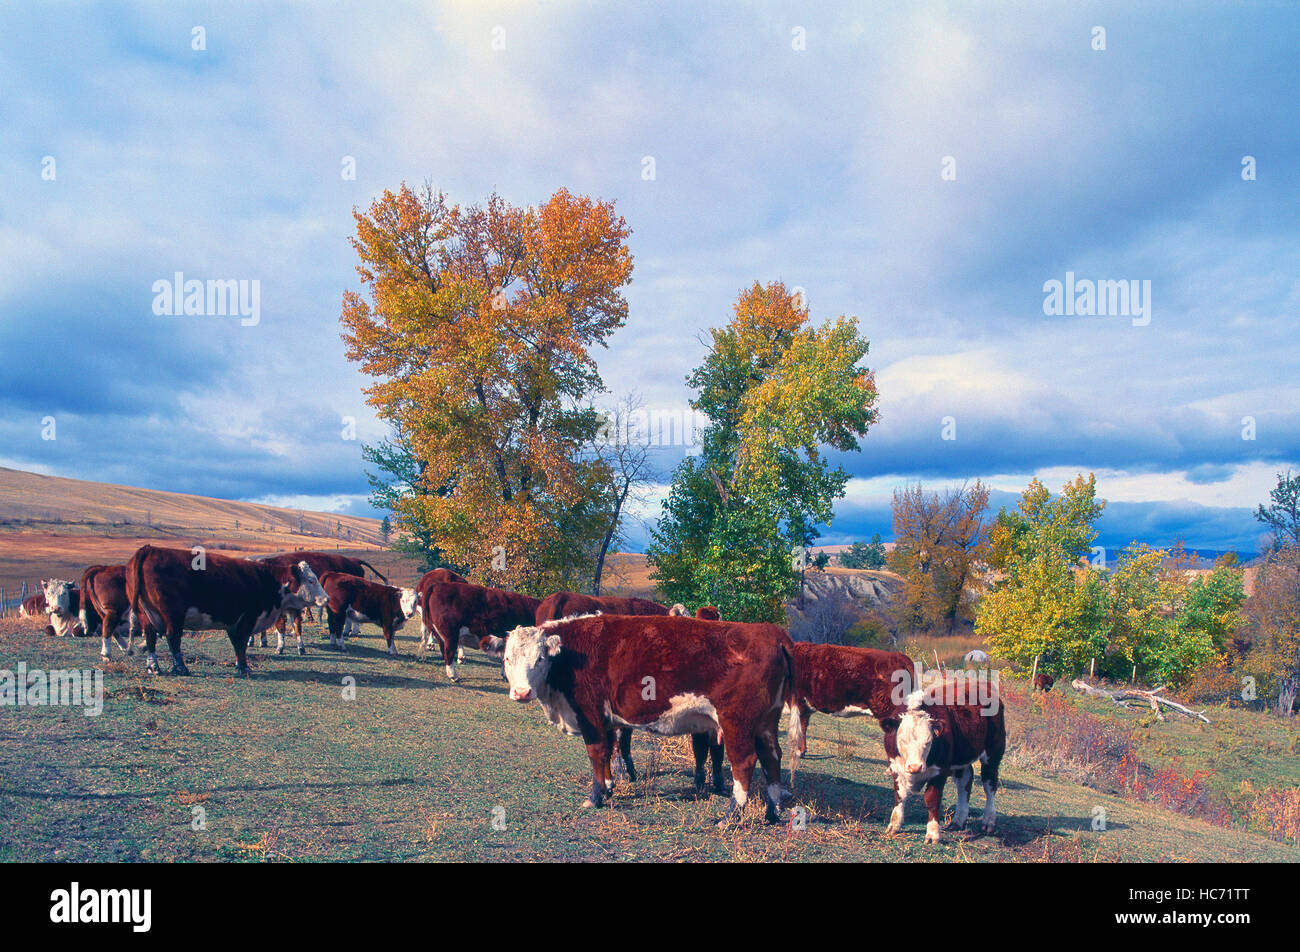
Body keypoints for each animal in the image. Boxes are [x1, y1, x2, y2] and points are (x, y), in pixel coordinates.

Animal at [127, 545, 328, 676]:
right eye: (311, 580)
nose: (326, 598)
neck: (265, 578)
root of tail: (150, 549)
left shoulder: (234, 621)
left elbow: (236, 643)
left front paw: (239, 664)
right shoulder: (248, 618)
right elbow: (241, 642)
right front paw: (244, 667)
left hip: (146, 614)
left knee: (150, 637)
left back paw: (154, 667)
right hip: (172, 616)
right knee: (172, 637)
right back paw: (181, 668)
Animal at [501, 613, 796, 824]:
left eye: (540, 658)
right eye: (507, 658)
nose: (521, 692)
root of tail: (771, 632)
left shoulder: (590, 714)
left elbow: (597, 753)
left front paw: (595, 797)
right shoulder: (607, 719)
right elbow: (609, 751)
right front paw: (609, 787)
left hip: (736, 721)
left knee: (744, 762)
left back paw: (731, 816)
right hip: (766, 722)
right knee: (772, 758)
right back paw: (772, 813)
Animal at [785, 643, 918, 781]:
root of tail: (899, 656)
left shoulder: (799, 703)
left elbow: (800, 728)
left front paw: (799, 751)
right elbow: (804, 727)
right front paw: (803, 751)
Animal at [881, 685, 1006, 843]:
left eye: (928, 741)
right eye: (902, 740)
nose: (915, 767)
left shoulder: (939, 772)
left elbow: (932, 800)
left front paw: (932, 834)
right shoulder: (895, 767)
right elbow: (899, 796)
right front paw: (894, 825)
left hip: (993, 753)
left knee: (990, 785)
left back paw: (989, 821)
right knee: (965, 782)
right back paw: (957, 821)